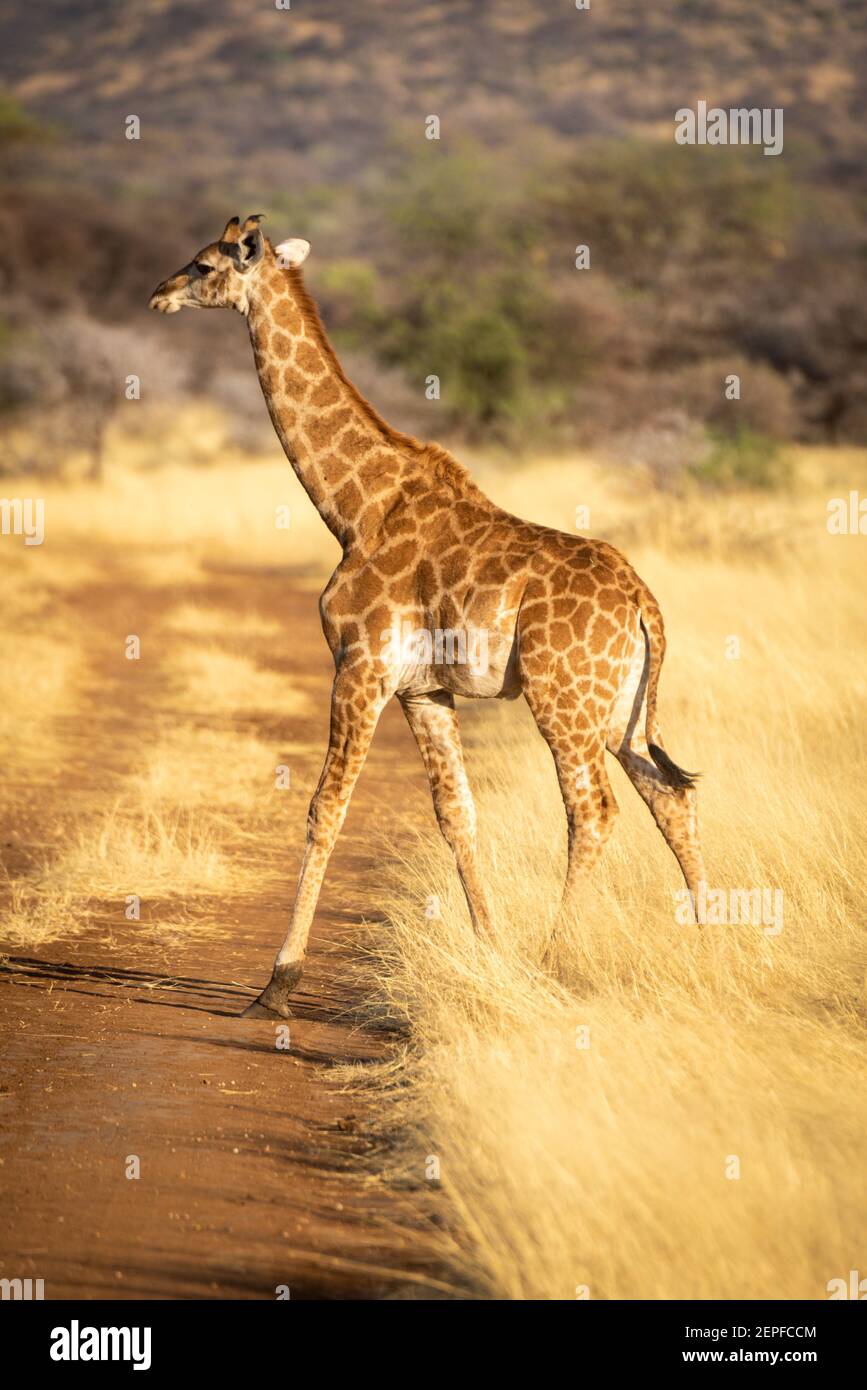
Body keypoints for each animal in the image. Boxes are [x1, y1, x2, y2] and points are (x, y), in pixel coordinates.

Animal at [150, 215, 706, 1018]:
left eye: (201, 264)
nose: (157, 293)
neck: (354, 509)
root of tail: (643, 605)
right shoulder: (423, 688)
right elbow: (456, 814)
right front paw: (491, 951)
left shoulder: (361, 666)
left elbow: (325, 807)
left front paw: (277, 985)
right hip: (622, 711)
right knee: (671, 798)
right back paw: (714, 951)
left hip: (563, 701)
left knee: (594, 811)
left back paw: (554, 961)